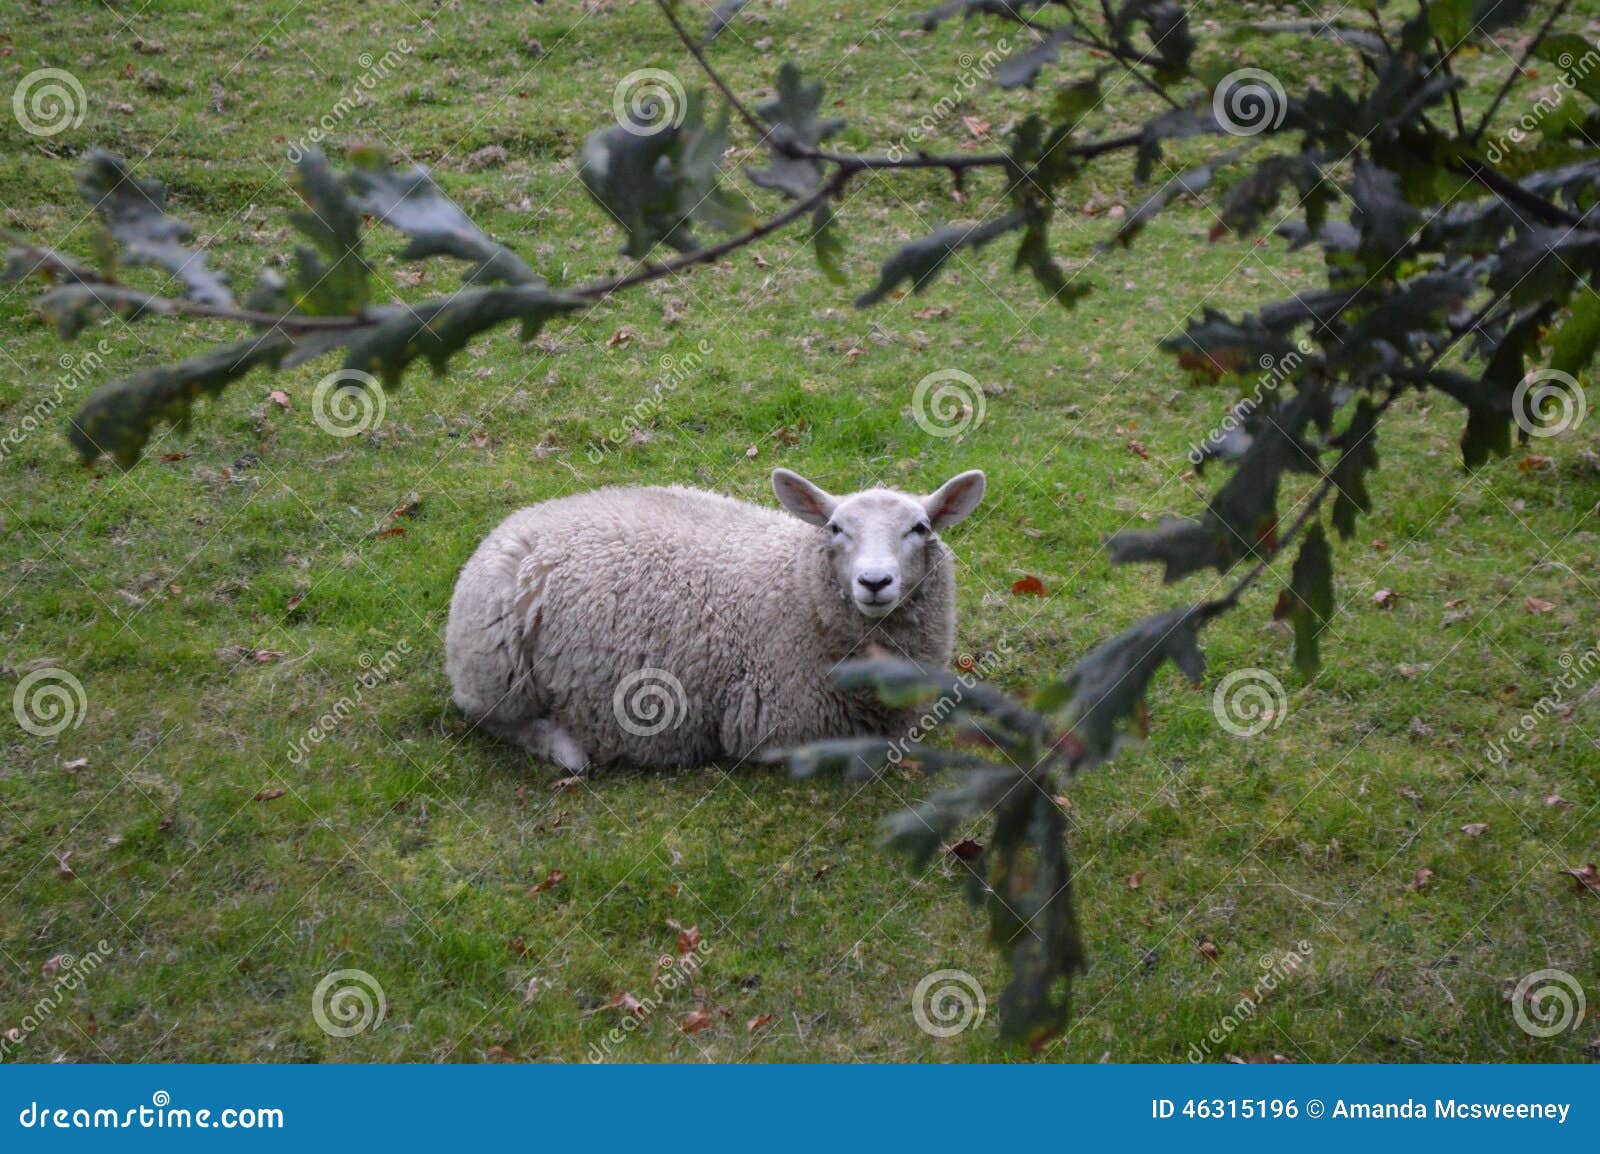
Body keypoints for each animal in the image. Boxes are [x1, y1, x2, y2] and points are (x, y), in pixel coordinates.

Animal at [444, 468, 986, 771]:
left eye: (920, 528)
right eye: (835, 528)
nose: (875, 582)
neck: (796, 588)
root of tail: (510, 527)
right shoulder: (773, 727)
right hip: (494, 669)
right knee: (495, 719)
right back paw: (568, 751)